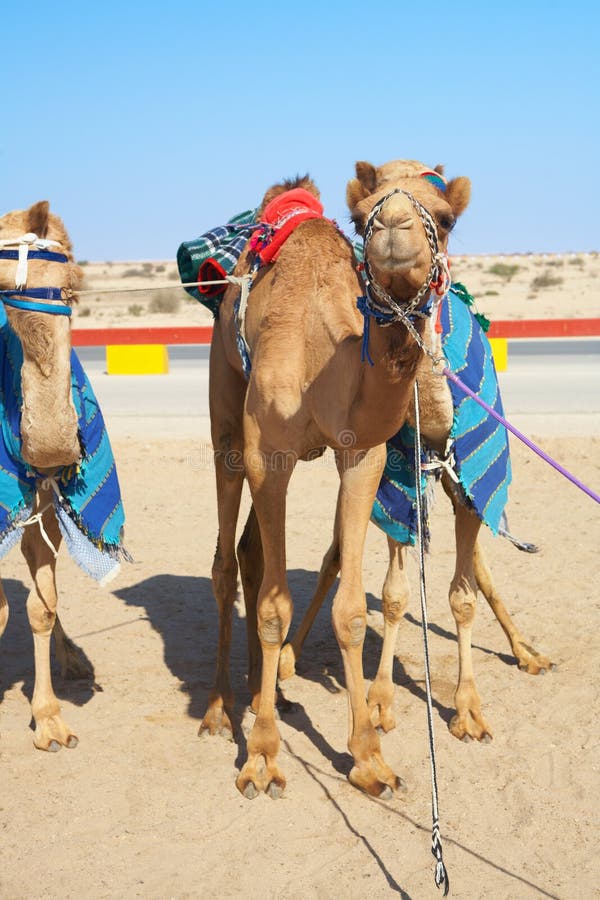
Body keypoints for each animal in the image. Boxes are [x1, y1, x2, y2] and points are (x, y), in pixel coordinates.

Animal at [202, 159, 472, 799]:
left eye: (447, 217)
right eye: (361, 213)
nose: (394, 226)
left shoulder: (361, 454)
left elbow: (350, 611)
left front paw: (369, 759)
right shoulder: (267, 453)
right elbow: (274, 608)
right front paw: (263, 758)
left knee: (249, 552)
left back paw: (264, 693)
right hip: (226, 413)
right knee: (226, 561)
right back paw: (220, 709)